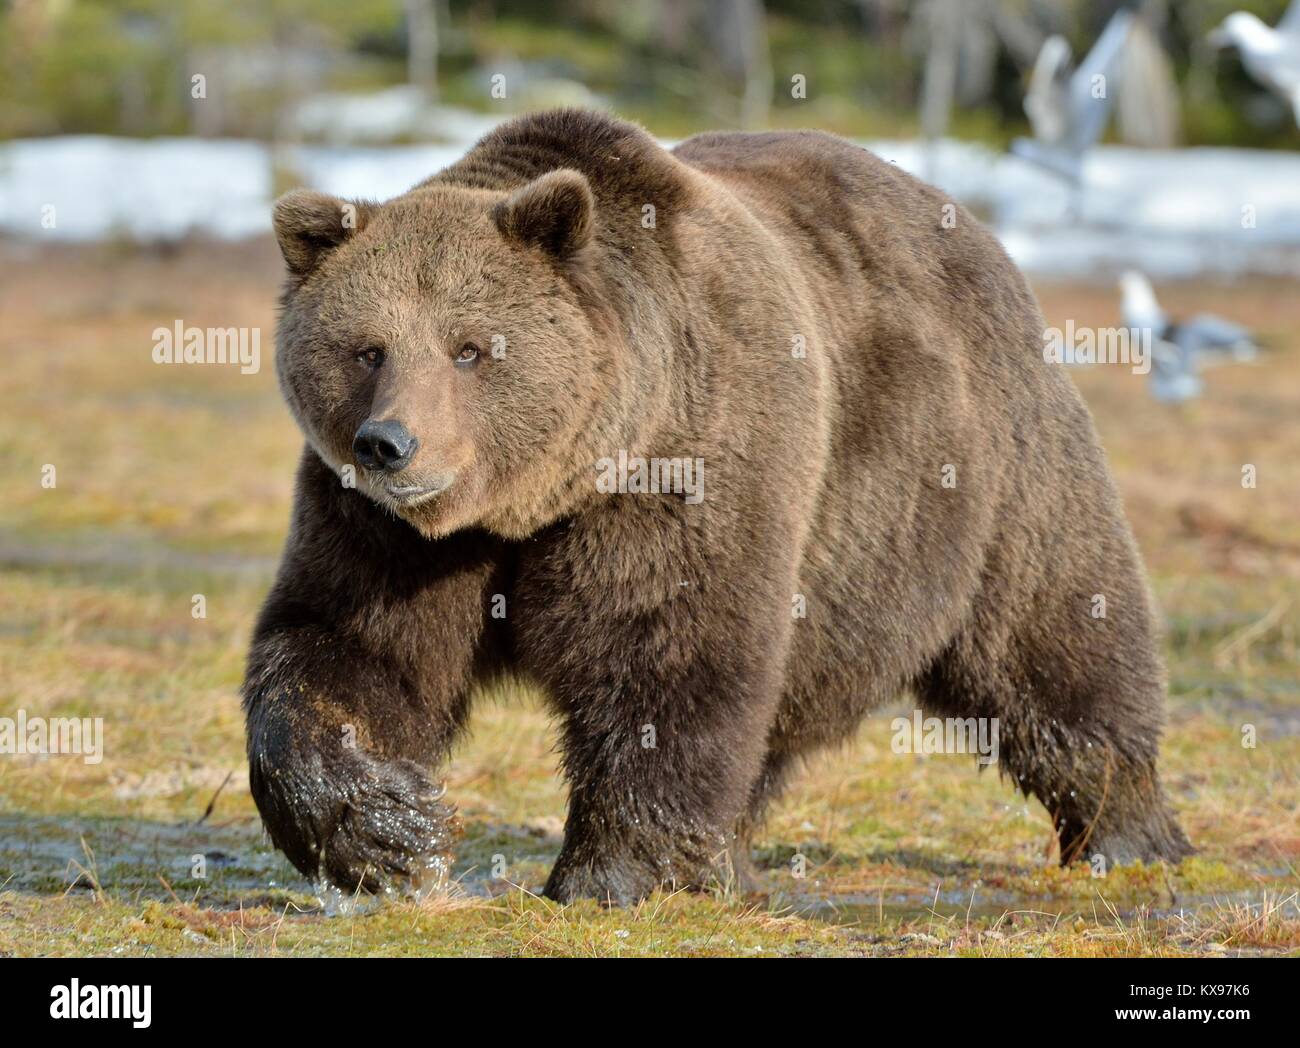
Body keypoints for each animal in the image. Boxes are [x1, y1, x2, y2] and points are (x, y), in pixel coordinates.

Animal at [244, 108, 1192, 903]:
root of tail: (971, 226)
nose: (390, 444)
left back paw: (1130, 831)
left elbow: (670, 656)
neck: (540, 497)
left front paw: (610, 876)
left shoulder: (684, 470)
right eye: (368, 348)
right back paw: (731, 859)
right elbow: (348, 651)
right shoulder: (386, 535)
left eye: (471, 349)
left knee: (1055, 639)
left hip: (980, 473)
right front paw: (392, 832)